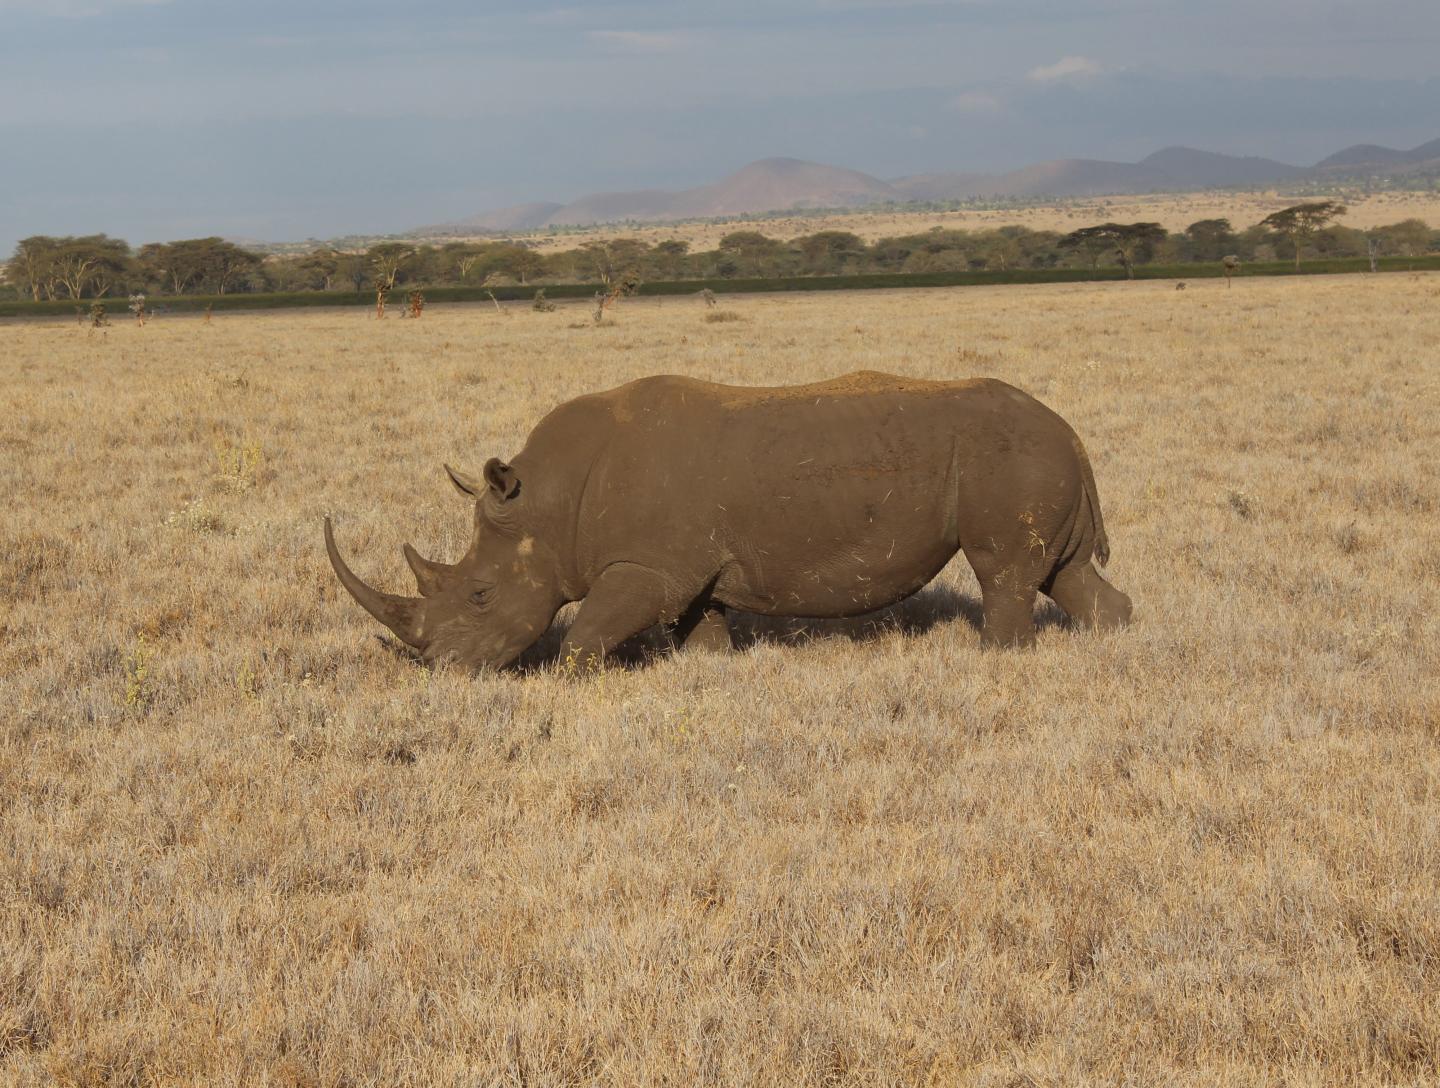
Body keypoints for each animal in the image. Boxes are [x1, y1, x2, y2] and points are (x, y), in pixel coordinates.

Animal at [325, 371, 1131, 670]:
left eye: (481, 596)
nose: (441, 668)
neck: (548, 507)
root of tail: (1070, 431)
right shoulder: (689, 568)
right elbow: (701, 632)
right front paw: (708, 671)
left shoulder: (649, 568)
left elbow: (584, 636)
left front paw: (577, 676)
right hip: (1031, 457)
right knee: (1064, 575)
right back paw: (1113, 639)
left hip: (1010, 458)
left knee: (1005, 574)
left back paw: (999, 659)